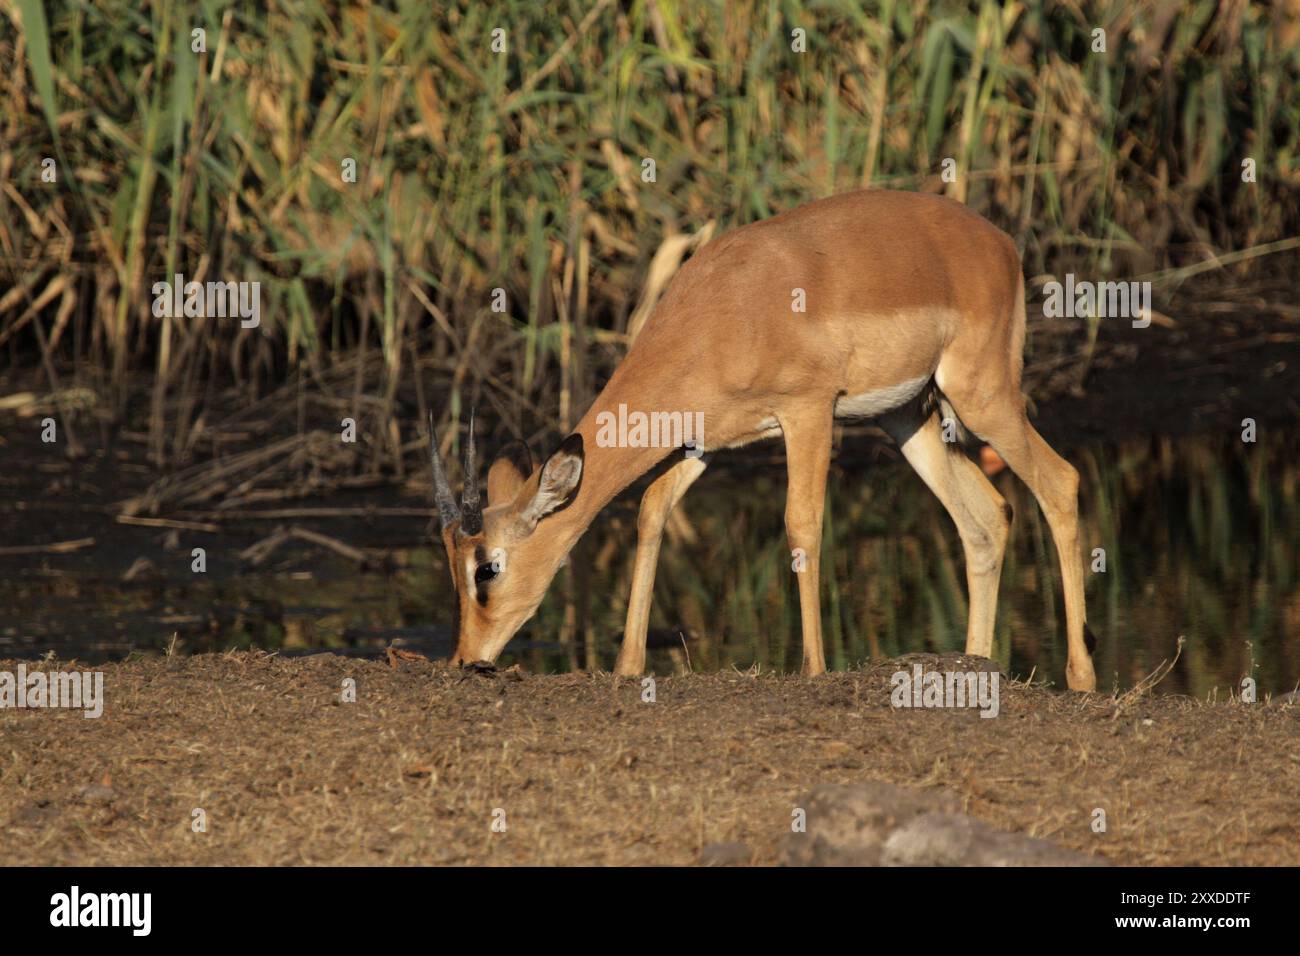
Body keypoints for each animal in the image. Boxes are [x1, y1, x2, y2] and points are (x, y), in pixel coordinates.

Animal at [428, 189, 1098, 692]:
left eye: (486, 568)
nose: (465, 658)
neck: (723, 313)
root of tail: (1000, 243)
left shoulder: (808, 413)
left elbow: (802, 526)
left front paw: (815, 669)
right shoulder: (703, 442)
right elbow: (651, 511)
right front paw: (627, 666)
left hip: (982, 397)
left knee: (1060, 482)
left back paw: (1081, 676)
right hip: (908, 418)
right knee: (987, 517)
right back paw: (977, 664)